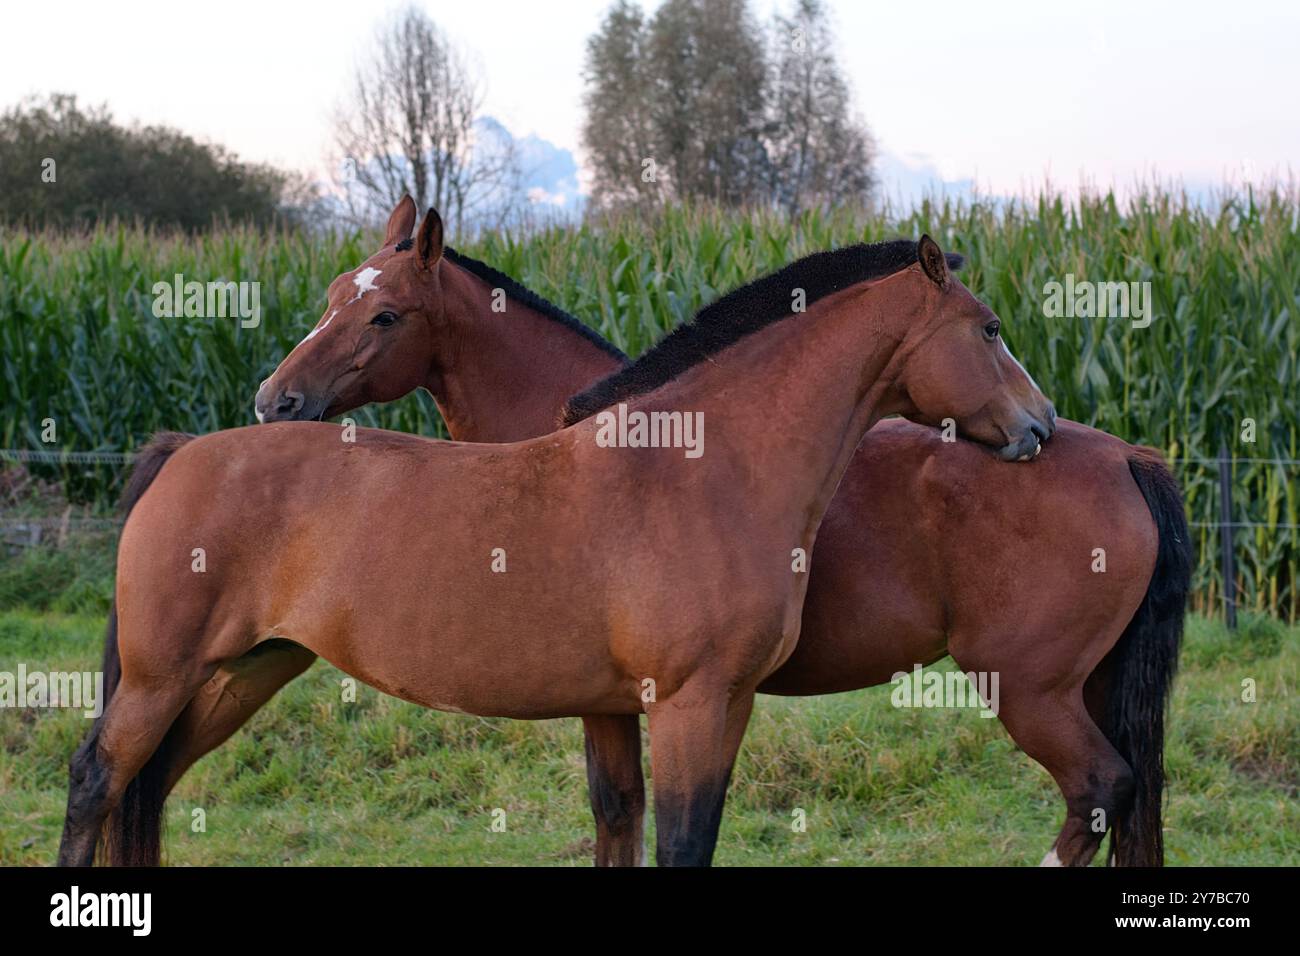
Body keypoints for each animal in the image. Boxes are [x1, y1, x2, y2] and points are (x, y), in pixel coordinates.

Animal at [59, 203, 1054, 867]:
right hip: (165, 676)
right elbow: (670, 839)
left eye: (380, 310)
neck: (698, 465)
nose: (1037, 424)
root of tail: (186, 451)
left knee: (145, 786)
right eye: (989, 329)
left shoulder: (713, 704)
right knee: (98, 779)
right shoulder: (686, 704)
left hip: (248, 668)